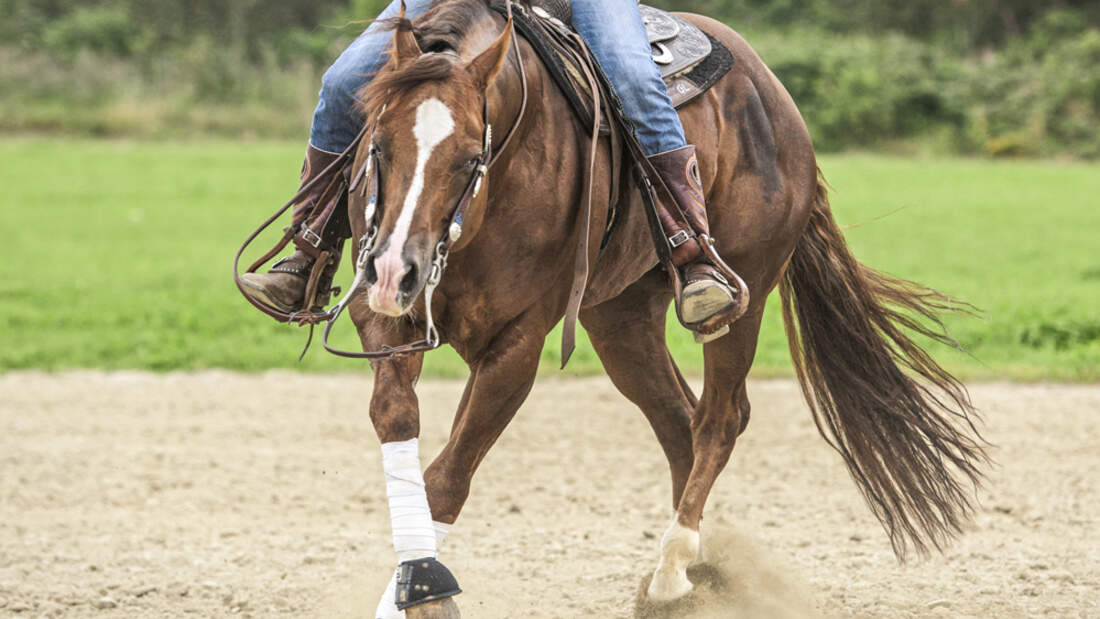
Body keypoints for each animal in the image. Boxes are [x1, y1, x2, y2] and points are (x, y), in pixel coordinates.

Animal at [339, 0, 987, 614]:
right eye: (377, 143)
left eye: (471, 156)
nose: (395, 270)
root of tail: (777, 98)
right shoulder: (384, 319)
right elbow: (399, 423)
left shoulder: (516, 344)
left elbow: (448, 477)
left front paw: (424, 591)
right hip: (620, 319)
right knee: (680, 423)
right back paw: (702, 570)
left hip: (745, 295)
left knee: (720, 419)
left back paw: (672, 576)